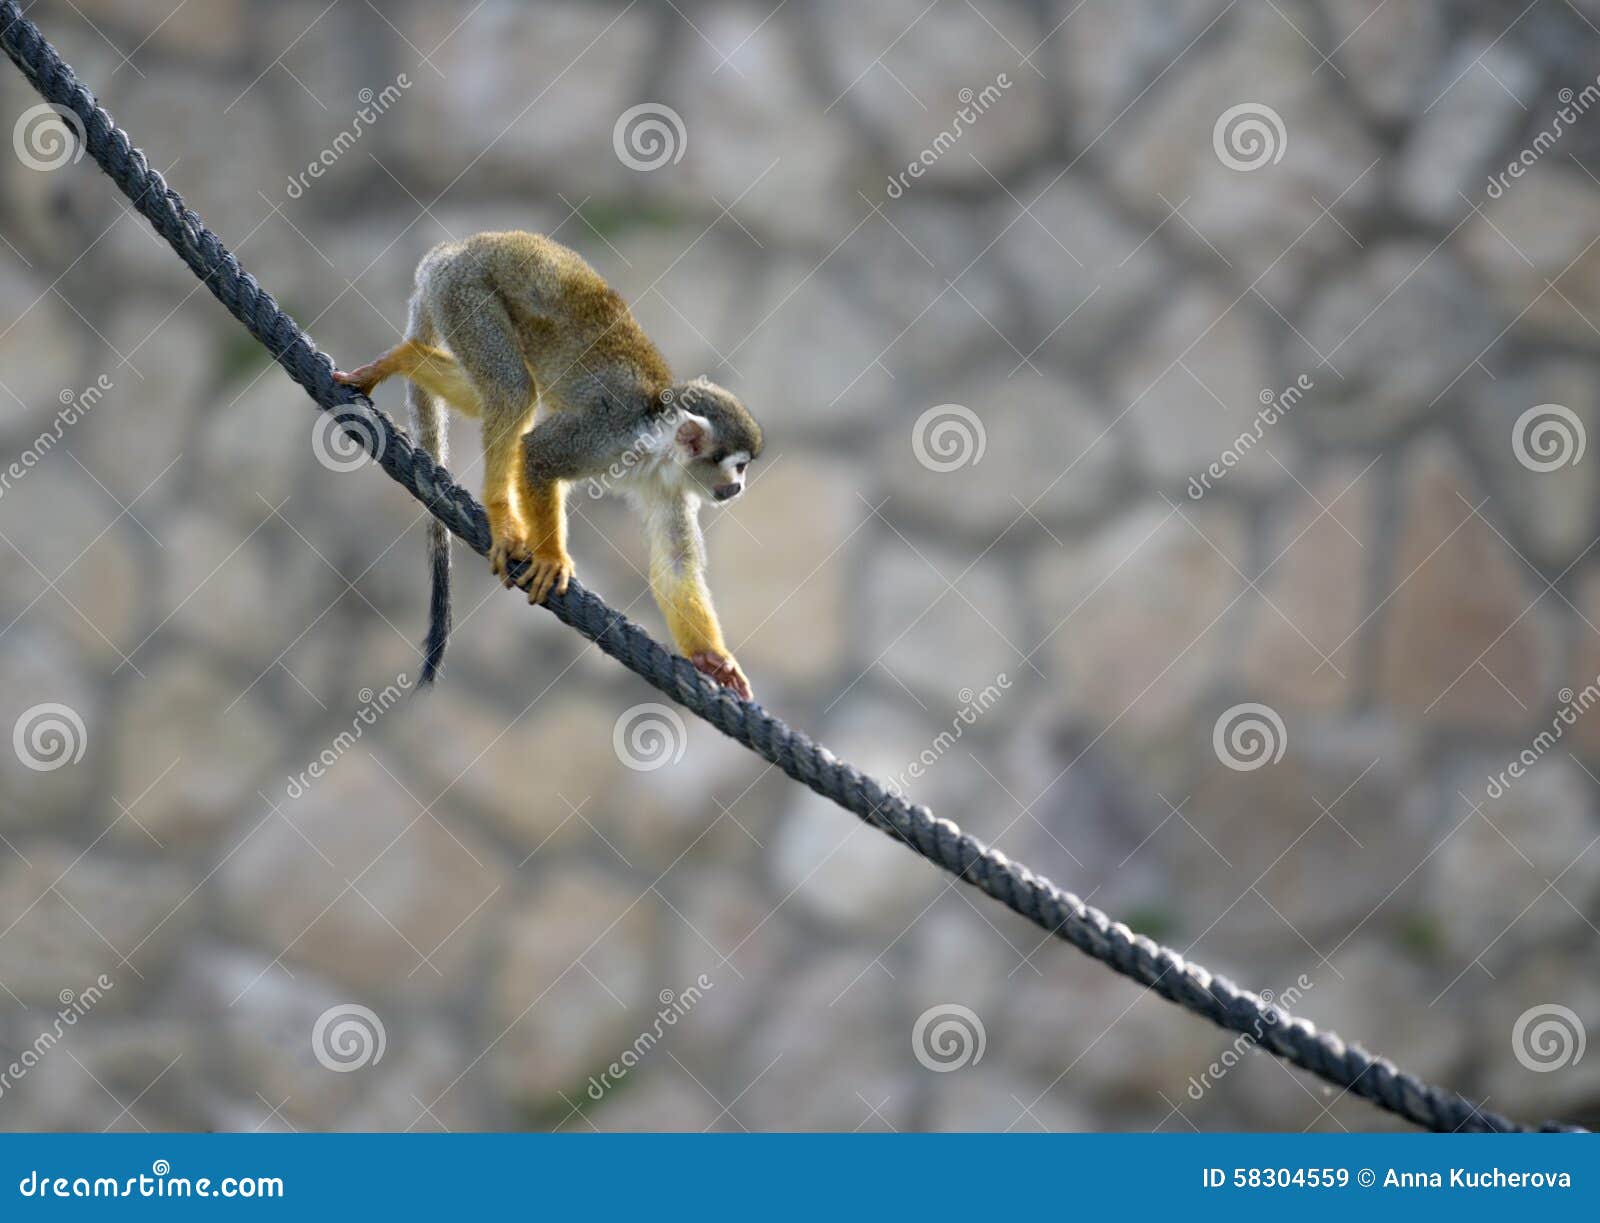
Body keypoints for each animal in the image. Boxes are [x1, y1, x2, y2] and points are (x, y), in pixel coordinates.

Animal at [334, 231, 762, 700]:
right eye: (736, 465)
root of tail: (456, 247)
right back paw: (501, 513)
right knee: (513, 390)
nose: (737, 488)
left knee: (491, 395)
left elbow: (675, 564)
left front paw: (714, 660)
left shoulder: (668, 484)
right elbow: (537, 454)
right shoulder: (607, 432)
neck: (659, 448)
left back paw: (407, 358)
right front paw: (553, 558)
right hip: (466, 294)